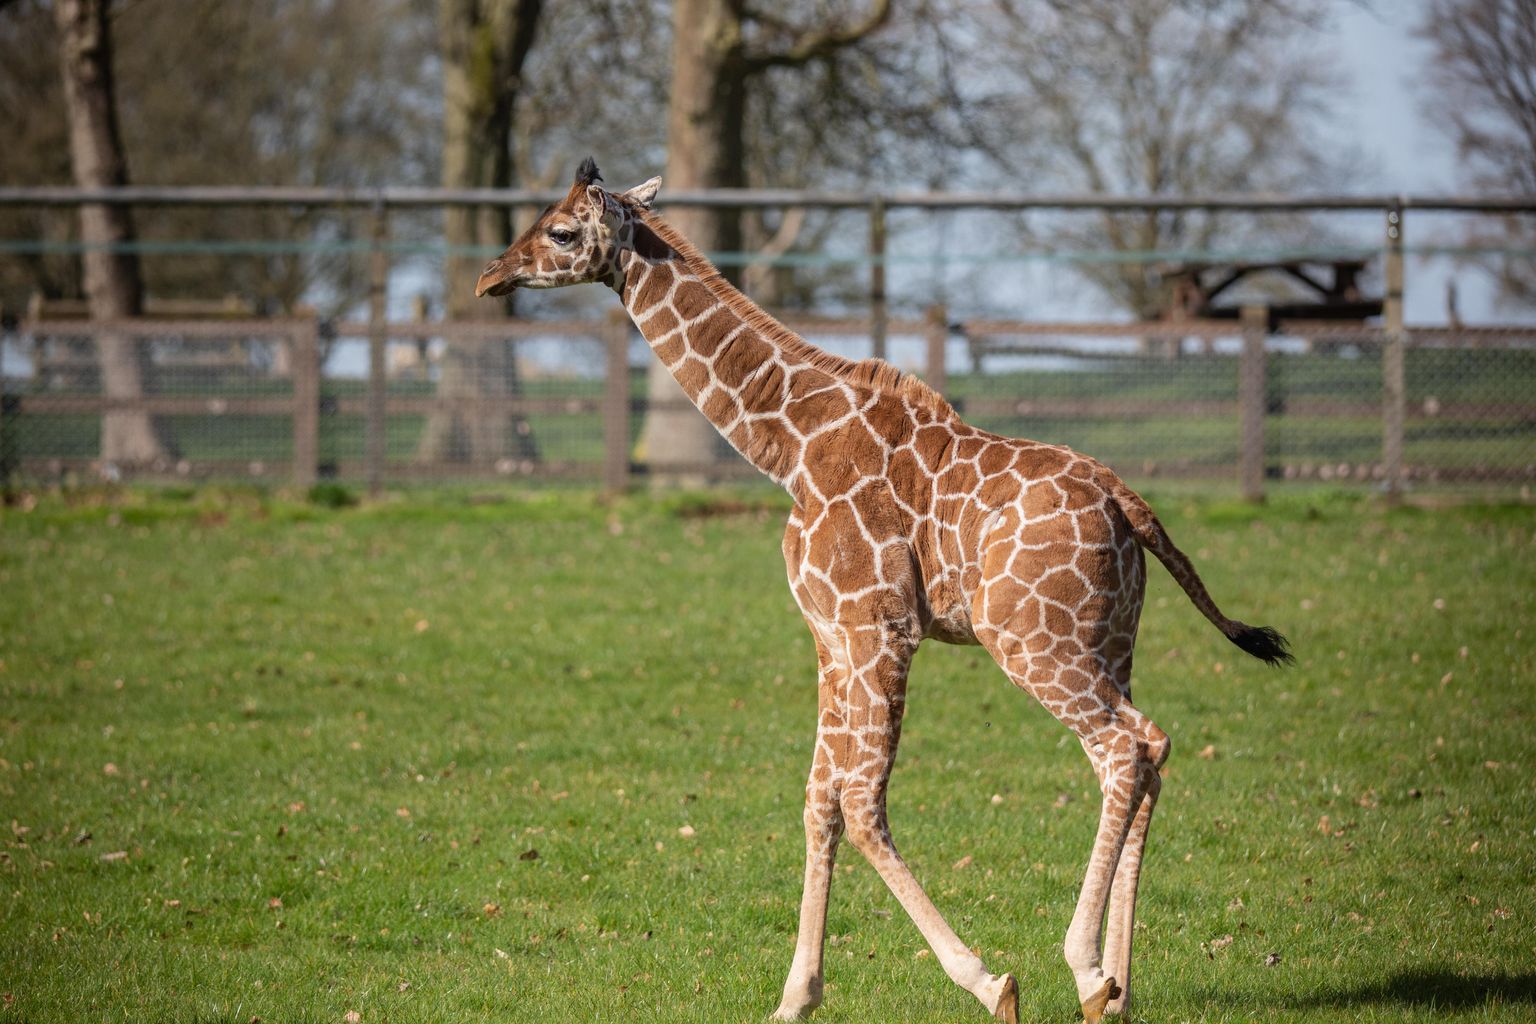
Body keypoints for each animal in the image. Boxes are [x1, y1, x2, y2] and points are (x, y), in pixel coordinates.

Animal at [475, 159, 1294, 1023]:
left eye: (563, 231)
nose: (491, 274)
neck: (790, 446)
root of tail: (1128, 501)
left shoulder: (878, 626)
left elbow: (863, 805)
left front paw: (989, 981)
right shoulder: (829, 636)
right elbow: (820, 800)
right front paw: (794, 998)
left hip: (1033, 641)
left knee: (1121, 749)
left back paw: (1083, 965)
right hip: (1108, 643)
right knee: (1150, 747)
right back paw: (1113, 986)